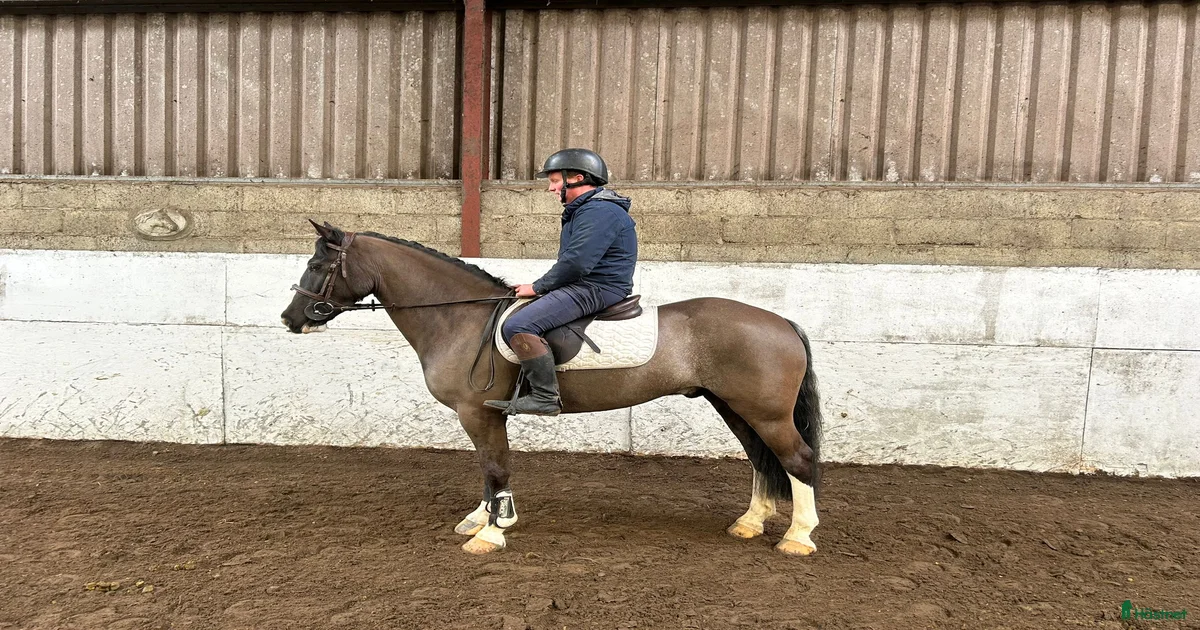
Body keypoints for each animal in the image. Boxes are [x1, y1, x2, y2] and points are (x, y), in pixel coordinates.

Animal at [280, 220, 823, 556]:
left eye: (319, 267)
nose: (290, 320)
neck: (460, 316)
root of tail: (781, 322)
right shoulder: (484, 415)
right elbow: (488, 471)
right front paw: (482, 518)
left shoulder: (477, 411)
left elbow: (495, 468)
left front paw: (492, 535)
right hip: (733, 406)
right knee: (761, 460)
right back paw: (750, 524)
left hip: (764, 411)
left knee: (796, 461)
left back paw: (798, 537)